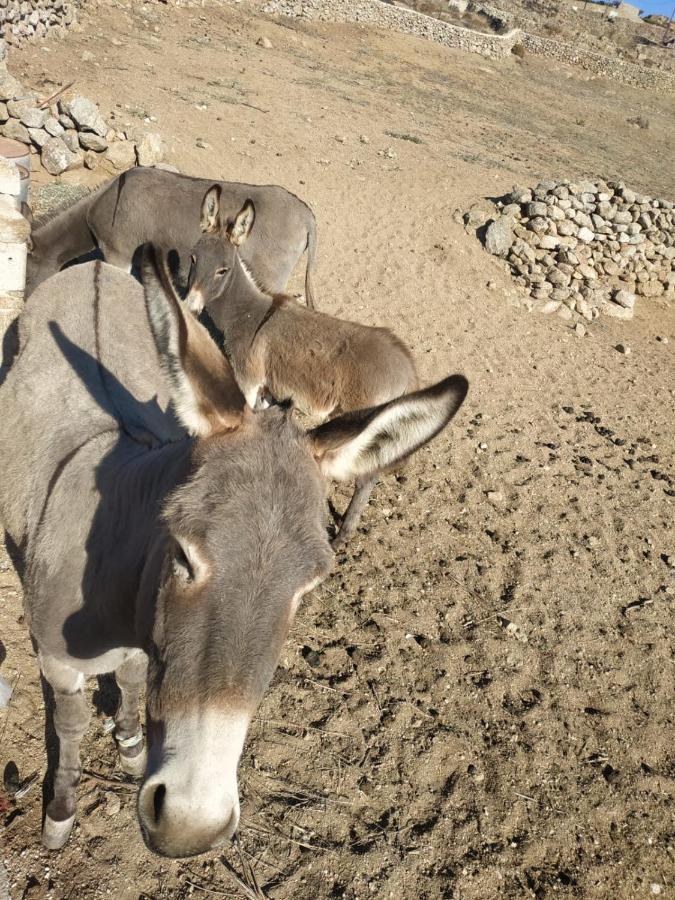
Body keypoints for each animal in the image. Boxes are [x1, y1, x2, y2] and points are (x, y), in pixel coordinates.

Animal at [0, 250, 468, 856]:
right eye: (180, 551)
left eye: (307, 588)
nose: (191, 824)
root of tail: (95, 267)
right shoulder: (56, 662)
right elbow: (71, 722)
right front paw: (59, 812)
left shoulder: (143, 642)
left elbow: (131, 679)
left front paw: (129, 741)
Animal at [187, 186, 422, 544]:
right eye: (193, 258)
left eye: (222, 270)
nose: (190, 307)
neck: (248, 314)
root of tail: (407, 365)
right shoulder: (266, 388)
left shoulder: (247, 378)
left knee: (366, 476)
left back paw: (342, 536)